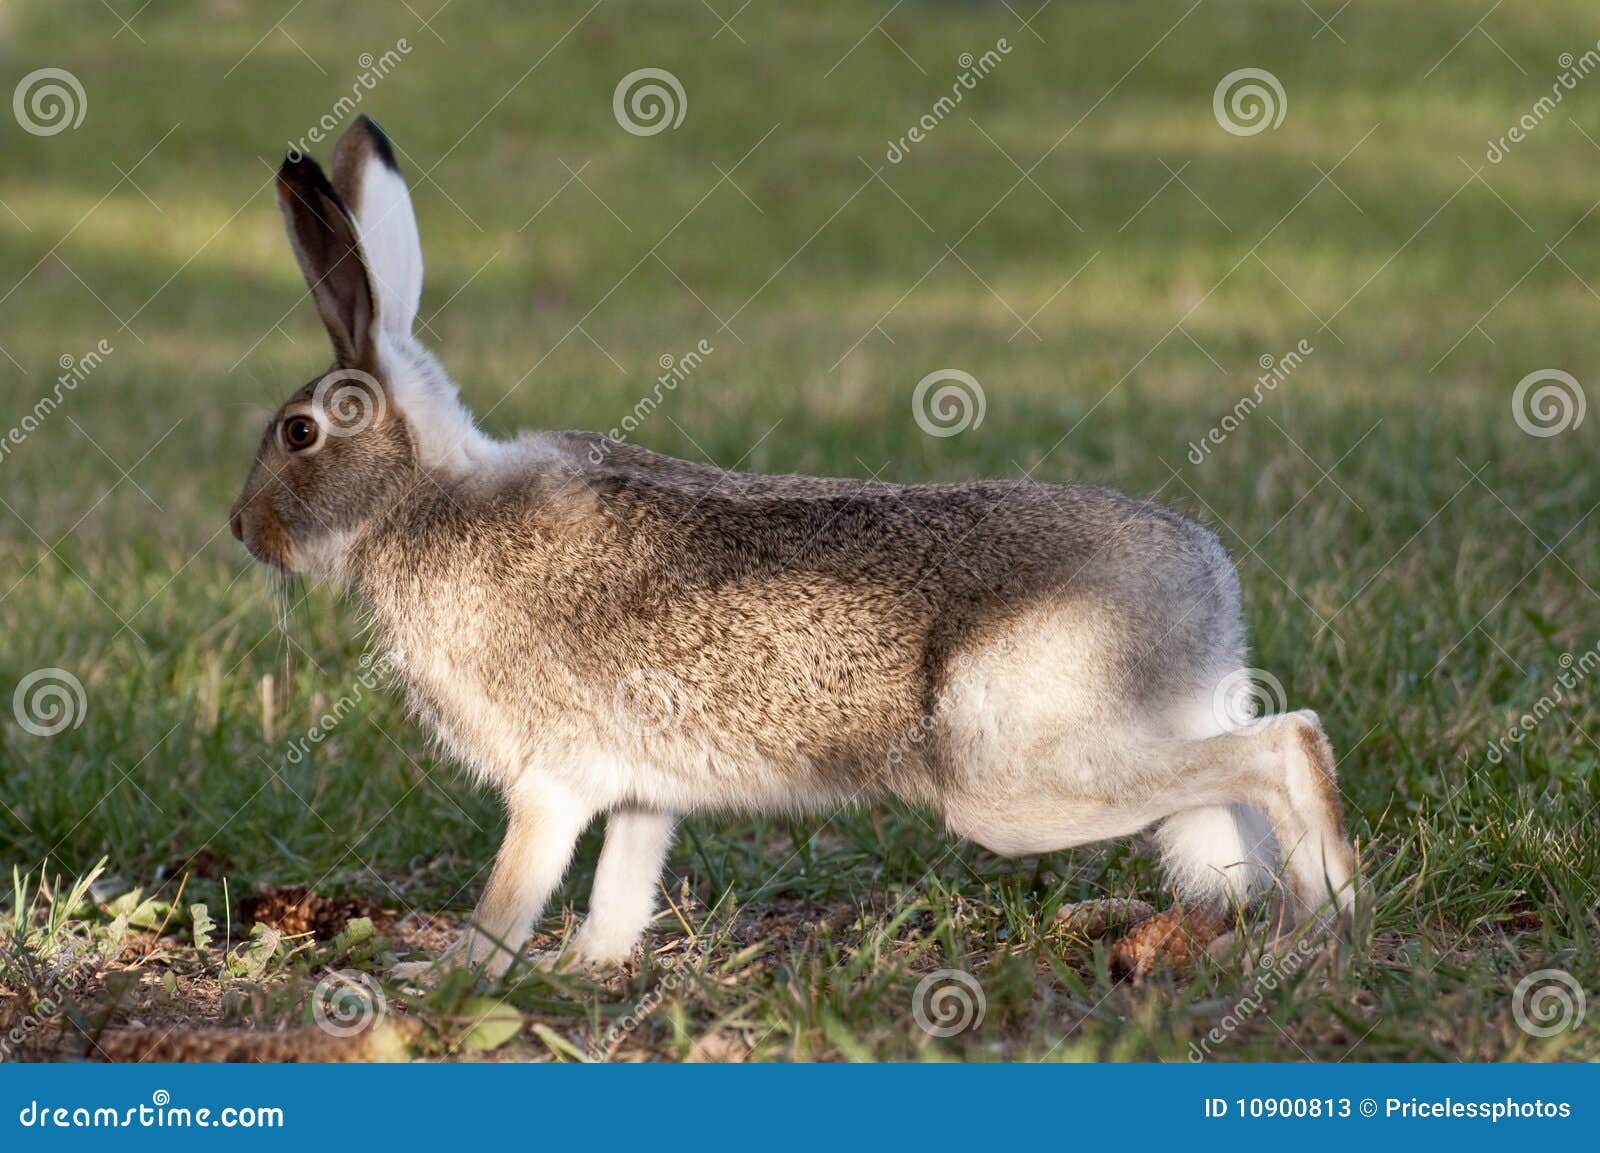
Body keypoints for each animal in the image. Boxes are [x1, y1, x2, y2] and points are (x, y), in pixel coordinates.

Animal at [231, 116, 1357, 977]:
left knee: (1286, 744)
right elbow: (622, 885)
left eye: (299, 433)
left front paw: (448, 976)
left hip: (1013, 779)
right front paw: (588, 967)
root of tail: (1204, 590)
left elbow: (512, 894)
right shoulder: (638, 787)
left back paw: (1319, 934)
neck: (422, 497)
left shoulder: (549, 784)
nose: (243, 529)